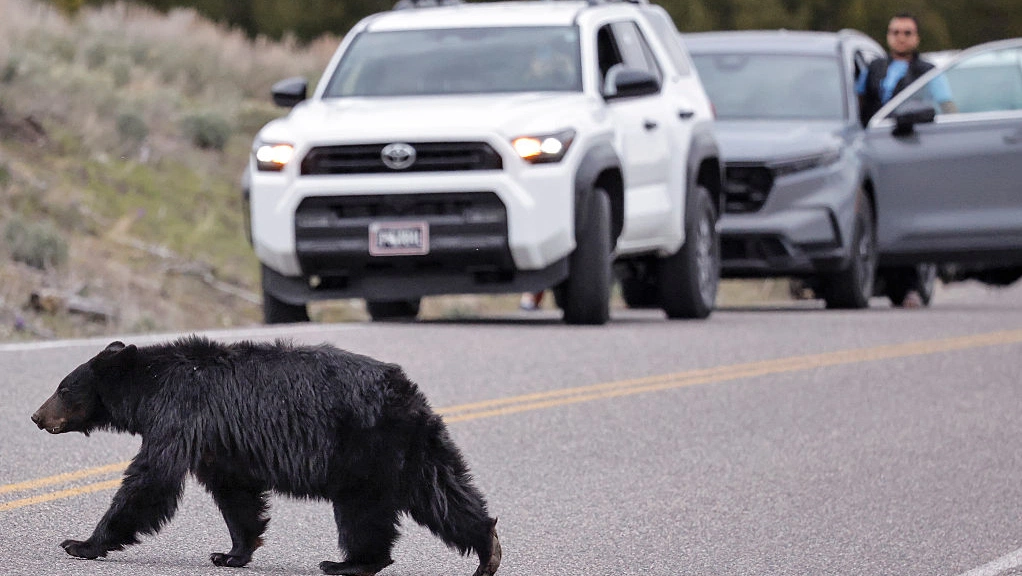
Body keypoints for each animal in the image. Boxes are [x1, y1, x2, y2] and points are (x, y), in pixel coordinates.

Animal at [31, 336, 501, 576]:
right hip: (413, 448)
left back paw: (346, 564)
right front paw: (232, 553)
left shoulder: (180, 413)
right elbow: (236, 495)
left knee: (364, 512)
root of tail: (406, 390)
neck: (150, 383)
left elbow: (150, 480)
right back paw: (488, 549)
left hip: (365, 449)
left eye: (63, 388)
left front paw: (82, 543)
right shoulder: (218, 444)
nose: (36, 416)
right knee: (444, 494)